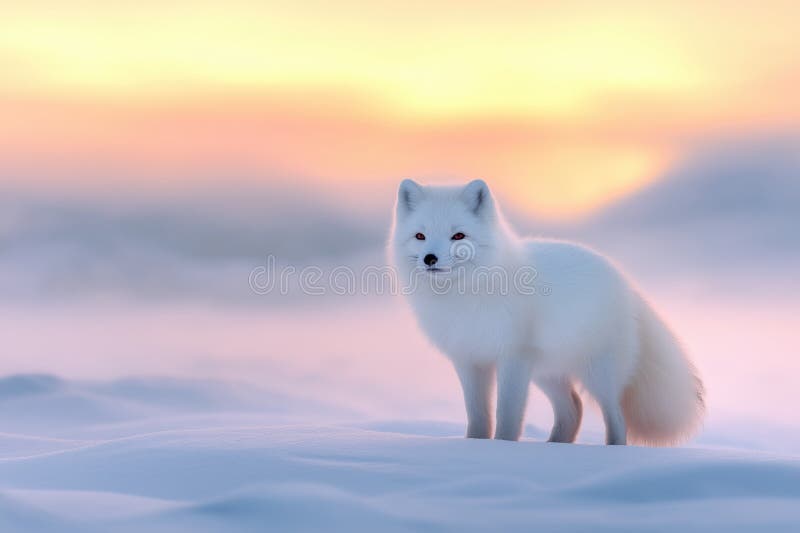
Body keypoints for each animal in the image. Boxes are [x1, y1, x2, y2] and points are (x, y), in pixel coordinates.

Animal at [391, 179, 705, 445]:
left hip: (597, 373)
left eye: (458, 235)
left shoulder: (513, 357)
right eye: (420, 235)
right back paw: (554, 448)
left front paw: (501, 448)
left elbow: (507, 415)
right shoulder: (469, 360)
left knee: (616, 417)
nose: (430, 258)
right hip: (546, 373)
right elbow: (478, 416)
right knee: (574, 408)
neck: (465, 293)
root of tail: (626, 282)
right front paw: (475, 447)